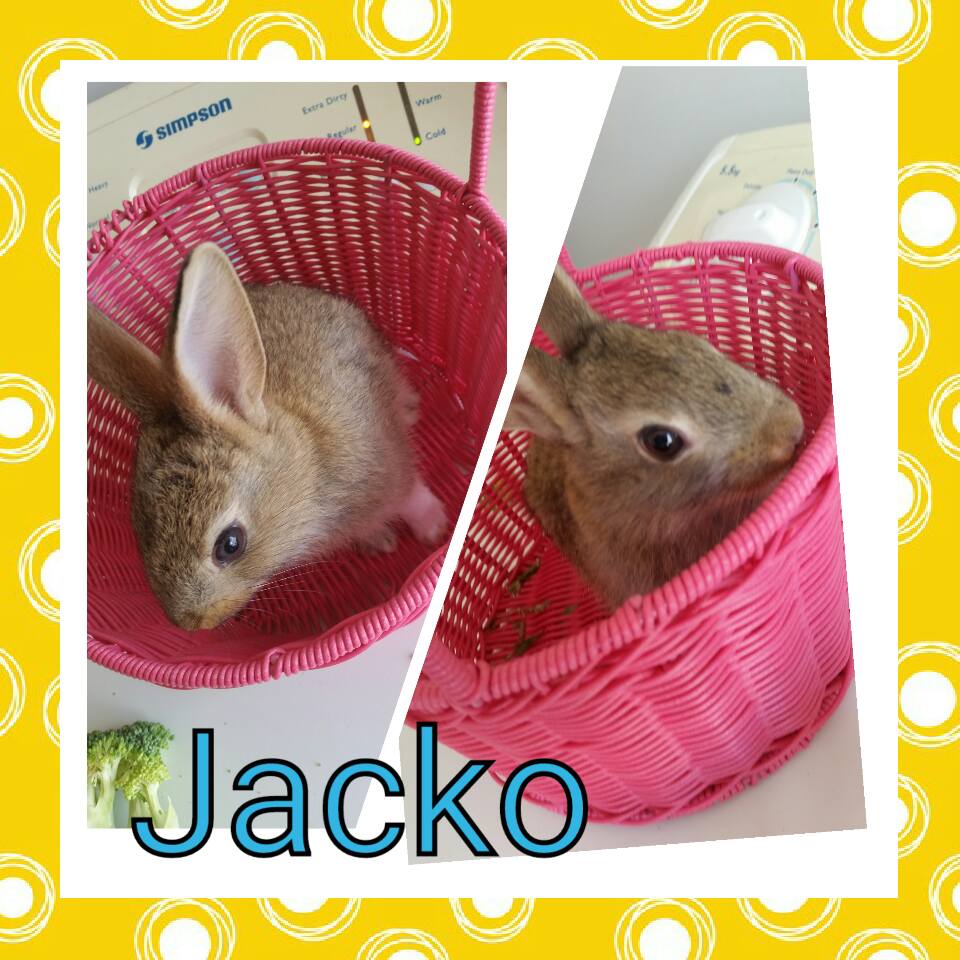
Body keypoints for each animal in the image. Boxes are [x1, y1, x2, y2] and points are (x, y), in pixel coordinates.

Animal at [87, 241, 447, 631]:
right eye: (139, 529)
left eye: (230, 544)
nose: (194, 623)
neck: (308, 471)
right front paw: (379, 539)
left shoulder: (390, 465)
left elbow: (412, 494)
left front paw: (435, 528)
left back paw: (410, 407)